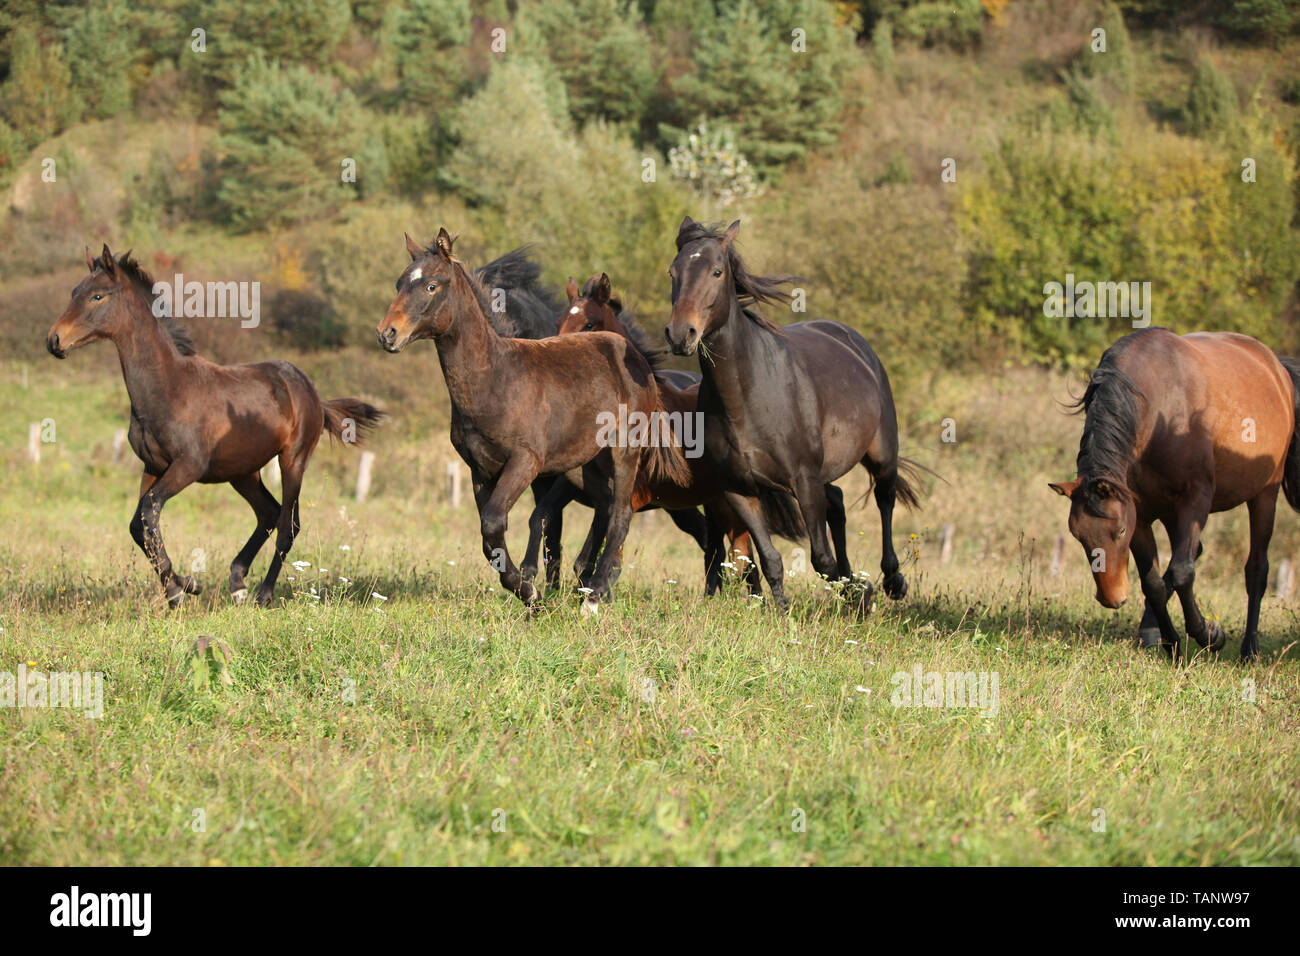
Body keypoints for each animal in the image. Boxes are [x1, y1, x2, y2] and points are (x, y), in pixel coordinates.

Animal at [45, 244, 383, 608]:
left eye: (97, 296)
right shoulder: (152, 466)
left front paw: (181, 588)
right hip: (243, 472)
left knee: (287, 525)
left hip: (293, 460)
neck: (169, 387)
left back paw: (263, 594)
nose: (54, 340)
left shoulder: (189, 466)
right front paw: (181, 586)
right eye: (73, 292)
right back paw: (237, 582)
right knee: (268, 513)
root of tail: (312, 394)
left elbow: (149, 513)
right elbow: (139, 525)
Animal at [377, 229, 690, 612]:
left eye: (432, 286)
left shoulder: (525, 461)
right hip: (583, 466)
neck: (496, 378)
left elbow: (494, 522)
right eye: (399, 283)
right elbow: (491, 537)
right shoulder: (479, 470)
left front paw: (532, 593)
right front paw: (530, 595)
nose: (387, 333)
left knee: (621, 513)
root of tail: (637, 359)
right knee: (604, 506)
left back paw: (595, 596)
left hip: (624, 454)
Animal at [664, 218, 920, 611]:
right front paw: (785, 612)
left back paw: (892, 581)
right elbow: (771, 559)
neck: (747, 397)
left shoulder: (804, 480)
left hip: (881, 454)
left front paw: (855, 596)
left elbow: (821, 559)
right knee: (838, 503)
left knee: (885, 499)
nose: (681, 334)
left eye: (716, 271)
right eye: (673, 272)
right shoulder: (739, 490)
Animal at [1050, 327, 1300, 662]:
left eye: (1119, 532)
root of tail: (1277, 369)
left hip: (1264, 494)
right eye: (1078, 535)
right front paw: (1172, 643)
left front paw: (1210, 635)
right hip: (1170, 512)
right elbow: (1153, 583)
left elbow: (1182, 572)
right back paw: (1151, 632)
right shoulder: (1140, 514)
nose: (1112, 598)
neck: (1161, 408)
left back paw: (1250, 650)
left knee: (1256, 570)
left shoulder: (1194, 501)